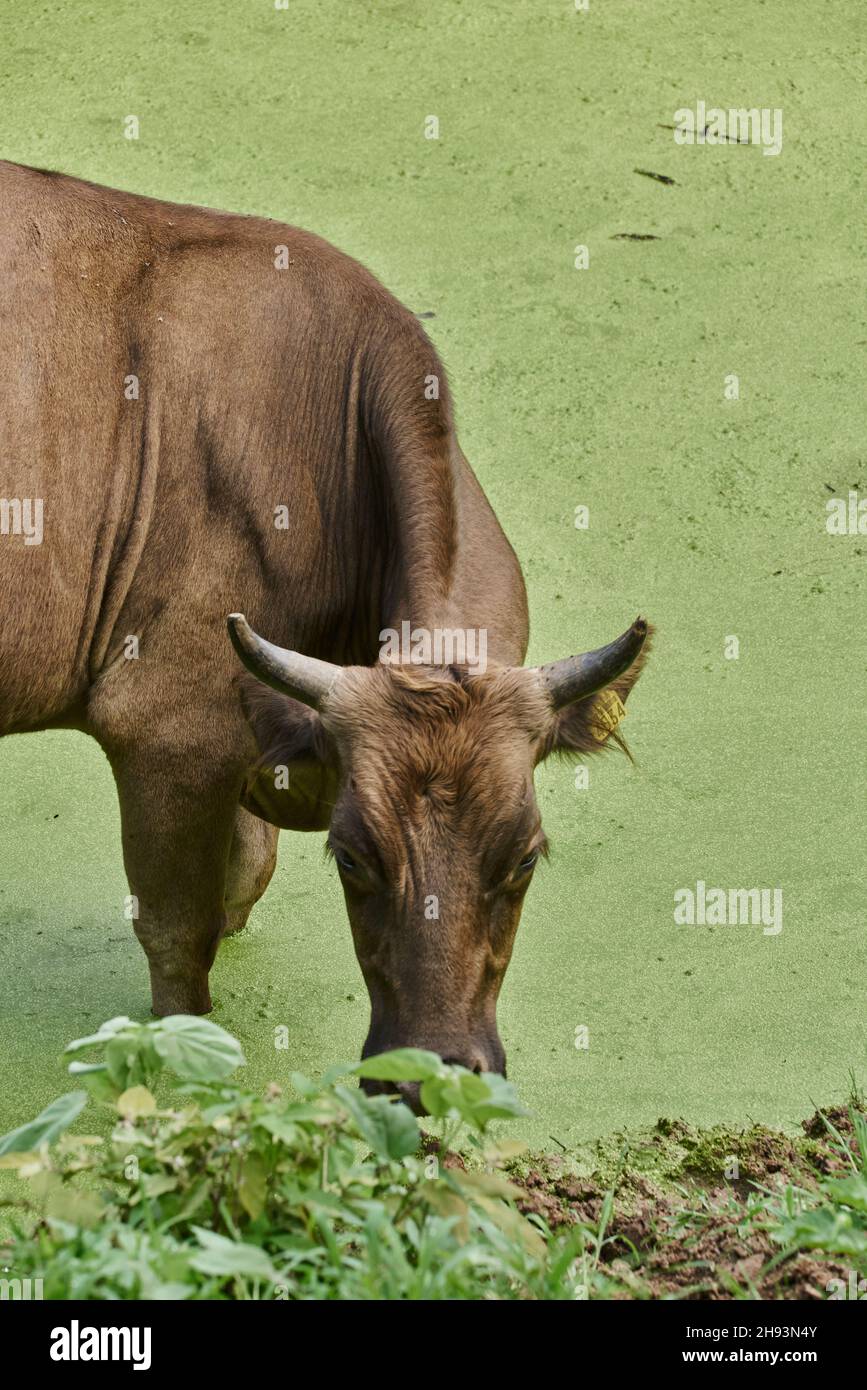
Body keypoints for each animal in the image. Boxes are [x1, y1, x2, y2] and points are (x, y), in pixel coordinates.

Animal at [0, 161, 650, 1106]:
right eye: (351, 858)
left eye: (526, 857)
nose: (429, 1072)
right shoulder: (167, 728)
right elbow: (179, 947)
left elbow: (244, 879)